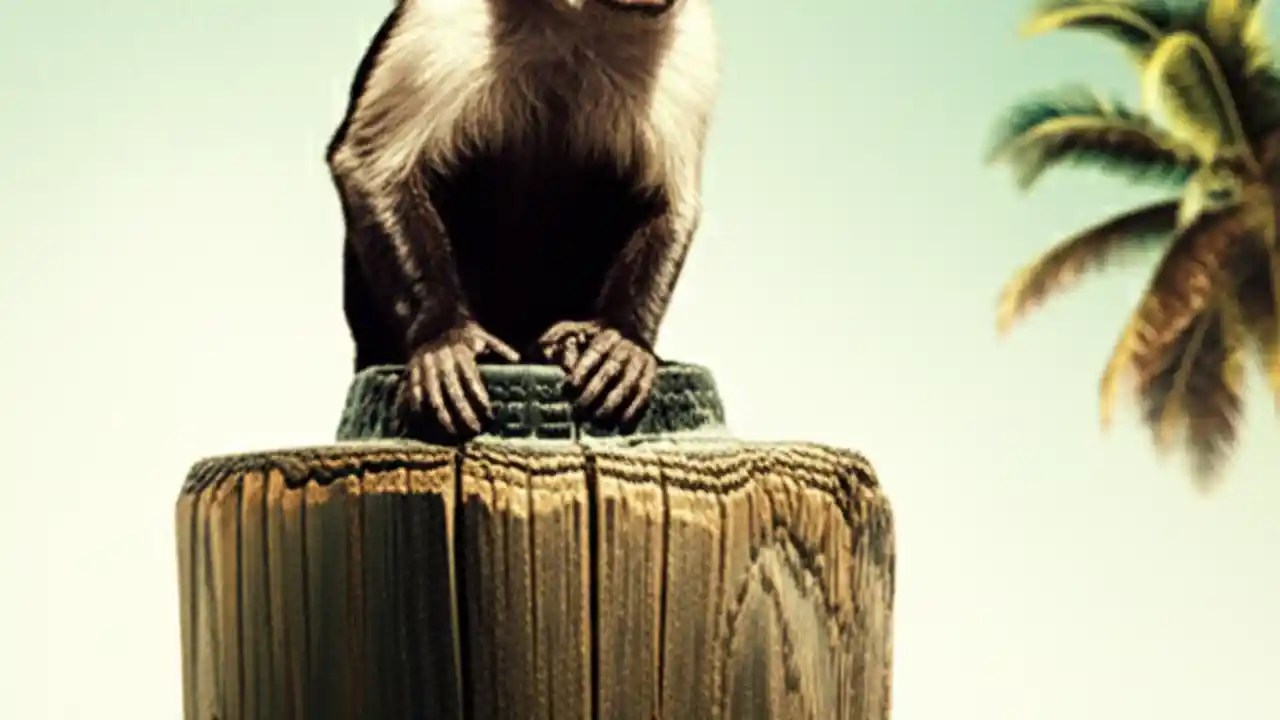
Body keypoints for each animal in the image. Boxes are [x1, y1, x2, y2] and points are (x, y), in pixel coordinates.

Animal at [326, 0, 720, 437]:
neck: (575, 21)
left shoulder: (690, 36)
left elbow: (670, 204)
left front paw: (622, 338)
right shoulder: (441, 15)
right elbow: (371, 169)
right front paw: (445, 337)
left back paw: (562, 345)